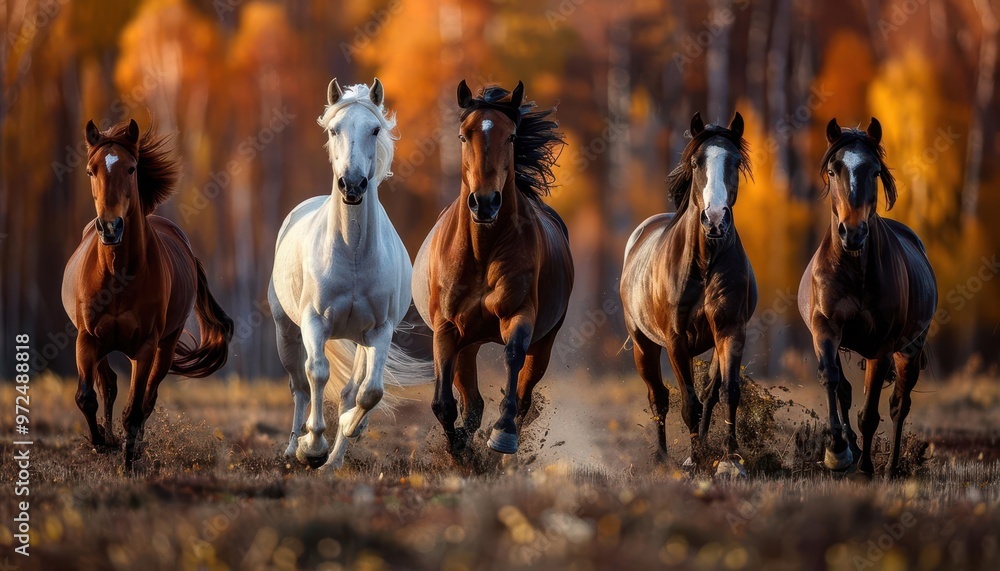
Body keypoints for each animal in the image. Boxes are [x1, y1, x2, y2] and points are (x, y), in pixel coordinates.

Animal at [62, 119, 233, 471]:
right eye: (90, 170)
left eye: (131, 168)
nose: (110, 227)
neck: (118, 274)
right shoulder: (86, 337)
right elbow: (86, 397)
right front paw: (101, 444)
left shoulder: (145, 345)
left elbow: (135, 409)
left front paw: (128, 464)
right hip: (102, 345)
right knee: (108, 385)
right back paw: (110, 439)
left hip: (164, 345)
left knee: (147, 398)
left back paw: (133, 446)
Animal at [269, 78, 430, 471]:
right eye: (333, 129)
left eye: (374, 129)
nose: (352, 185)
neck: (352, 252)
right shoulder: (314, 322)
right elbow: (317, 372)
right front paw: (311, 447)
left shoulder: (380, 330)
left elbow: (368, 393)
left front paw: (347, 429)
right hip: (286, 329)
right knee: (299, 386)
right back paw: (293, 449)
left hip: (360, 340)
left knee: (349, 390)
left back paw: (334, 460)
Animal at [412, 80, 573, 459]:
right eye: (462, 136)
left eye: (511, 136)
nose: (485, 203)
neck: (481, 251)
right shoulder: (447, 327)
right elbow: (444, 403)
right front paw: (459, 450)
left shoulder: (519, 313)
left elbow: (512, 358)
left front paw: (502, 434)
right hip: (468, 344)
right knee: (472, 402)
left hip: (544, 341)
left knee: (524, 394)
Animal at [620, 112, 757, 476]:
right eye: (697, 162)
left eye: (735, 161)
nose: (715, 219)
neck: (704, 262)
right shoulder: (675, 340)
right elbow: (687, 404)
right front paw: (695, 461)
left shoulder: (730, 330)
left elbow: (727, 392)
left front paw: (730, 459)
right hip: (643, 344)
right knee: (658, 397)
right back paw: (662, 457)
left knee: (709, 393)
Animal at [798, 118, 937, 478]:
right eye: (833, 170)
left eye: (874, 171)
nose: (853, 232)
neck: (853, 269)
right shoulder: (825, 329)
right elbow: (833, 382)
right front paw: (837, 451)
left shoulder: (882, 347)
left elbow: (871, 414)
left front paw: (865, 467)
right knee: (846, 391)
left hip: (909, 350)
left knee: (899, 405)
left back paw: (889, 467)